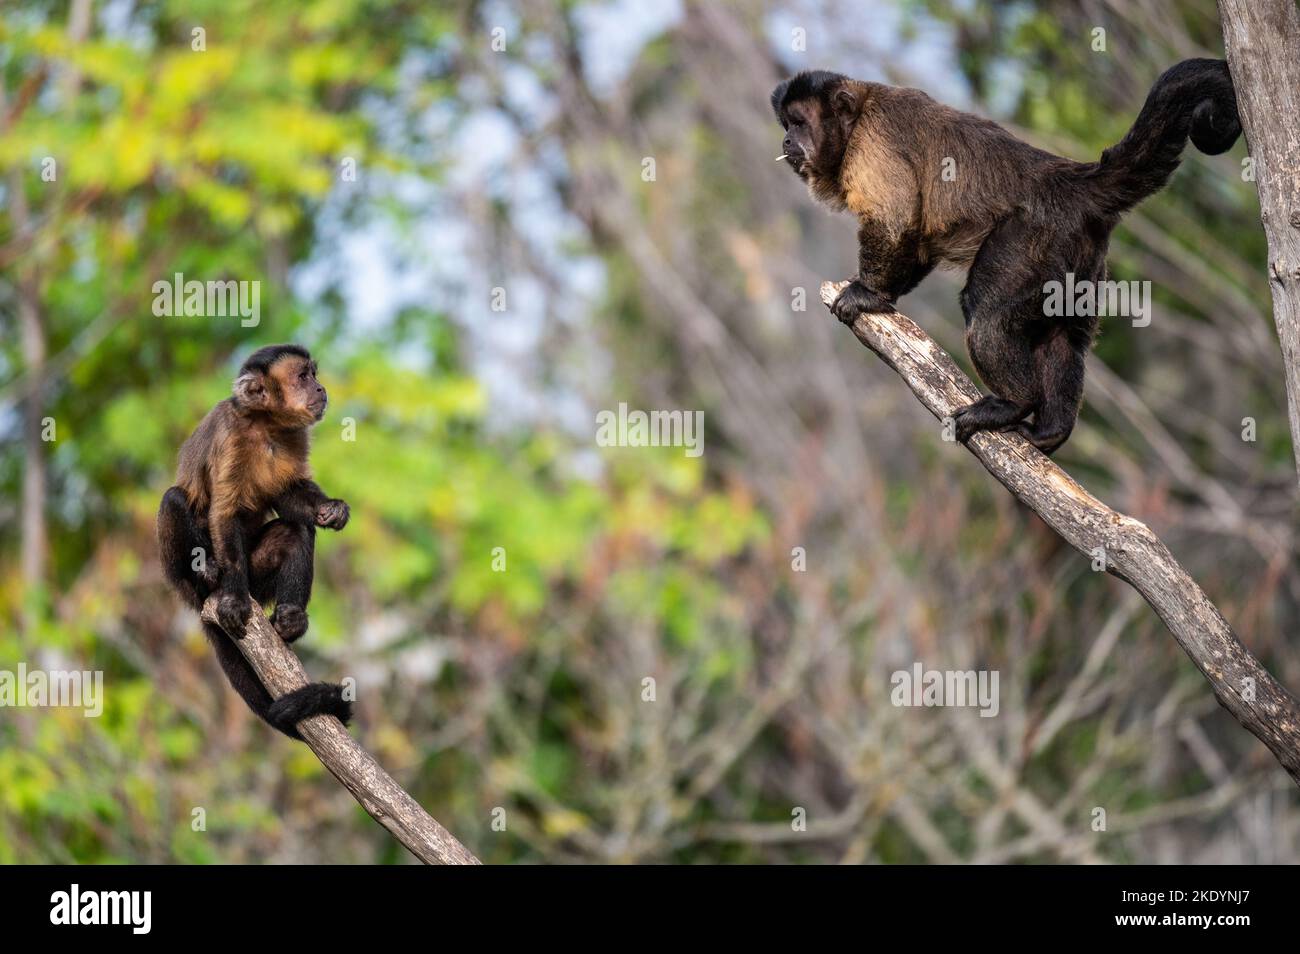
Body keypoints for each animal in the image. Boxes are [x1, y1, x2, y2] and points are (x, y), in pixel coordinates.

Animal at [157, 344, 353, 739]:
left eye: (313, 375)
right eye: (303, 376)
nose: (320, 388)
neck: (266, 425)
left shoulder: (294, 437)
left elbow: (290, 498)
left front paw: (331, 509)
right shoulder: (231, 435)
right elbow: (223, 513)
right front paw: (232, 600)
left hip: (257, 580)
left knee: (295, 531)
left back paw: (291, 619)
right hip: (189, 577)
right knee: (174, 499)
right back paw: (207, 577)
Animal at [772, 59, 1239, 454]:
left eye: (799, 123)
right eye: (787, 124)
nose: (786, 139)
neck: (859, 114)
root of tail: (1068, 180)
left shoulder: (872, 143)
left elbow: (897, 219)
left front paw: (867, 293)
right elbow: (917, 239)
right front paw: (885, 295)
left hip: (1034, 238)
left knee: (986, 313)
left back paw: (1012, 403)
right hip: (1081, 254)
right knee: (1062, 336)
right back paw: (1051, 429)